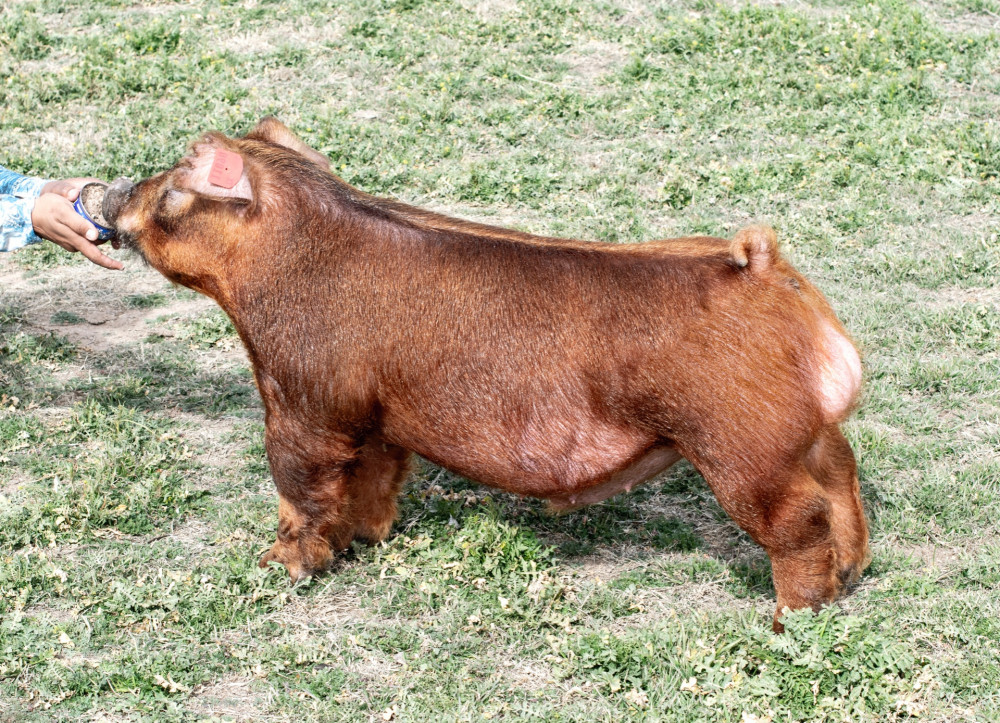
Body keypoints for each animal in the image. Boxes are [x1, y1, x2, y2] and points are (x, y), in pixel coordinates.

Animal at [107, 117, 868, 630]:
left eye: (172, 185)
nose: (110, 190)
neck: (281, 259)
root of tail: (761, 266)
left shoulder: (303, 396)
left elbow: (301, 484)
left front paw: (277, 566)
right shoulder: (379, 415)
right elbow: (377, 477)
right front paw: (370, 540)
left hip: (739, 442)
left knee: (800, 515)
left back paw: (791, 617)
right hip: (801, 432)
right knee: (842, 475)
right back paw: (854, 573)